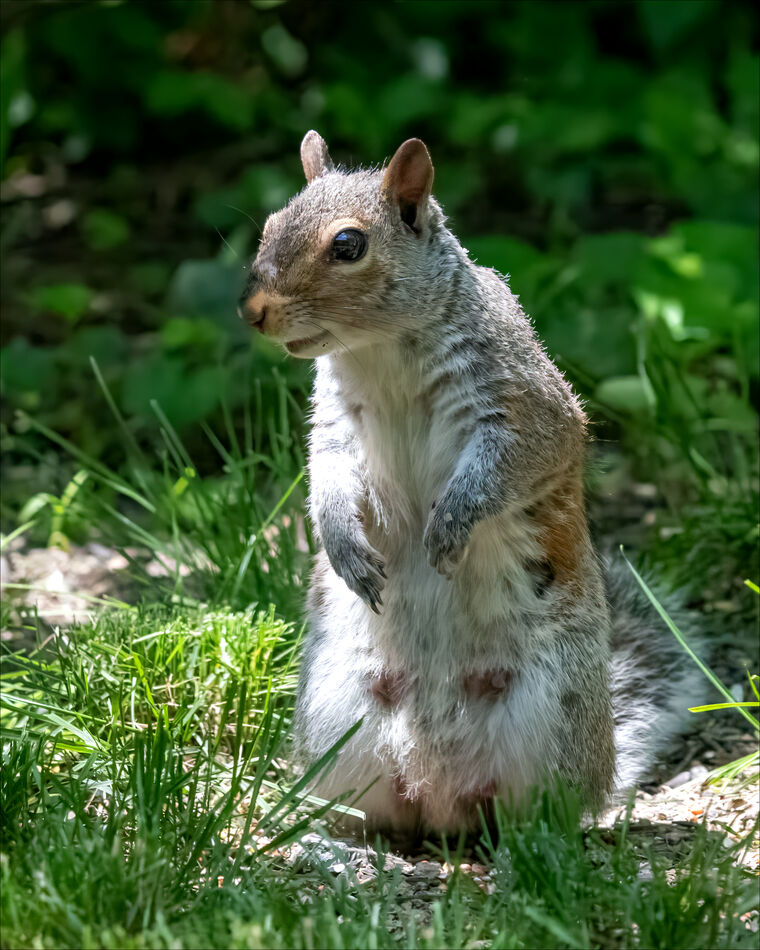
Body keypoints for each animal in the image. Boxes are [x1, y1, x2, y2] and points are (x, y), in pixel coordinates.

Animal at [239, 131, 701, 835]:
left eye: (348, 245)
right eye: (268, 225)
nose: (255, 312)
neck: (380, 350)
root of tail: (441, 800)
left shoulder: (520, 407)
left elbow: (510, 465)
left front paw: (451, 524)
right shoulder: (338, 427)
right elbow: (328, 477)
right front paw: (342, 544)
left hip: (553, 715)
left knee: (545, 811)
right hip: (336, 715)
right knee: (372, 809)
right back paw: (334, 833)